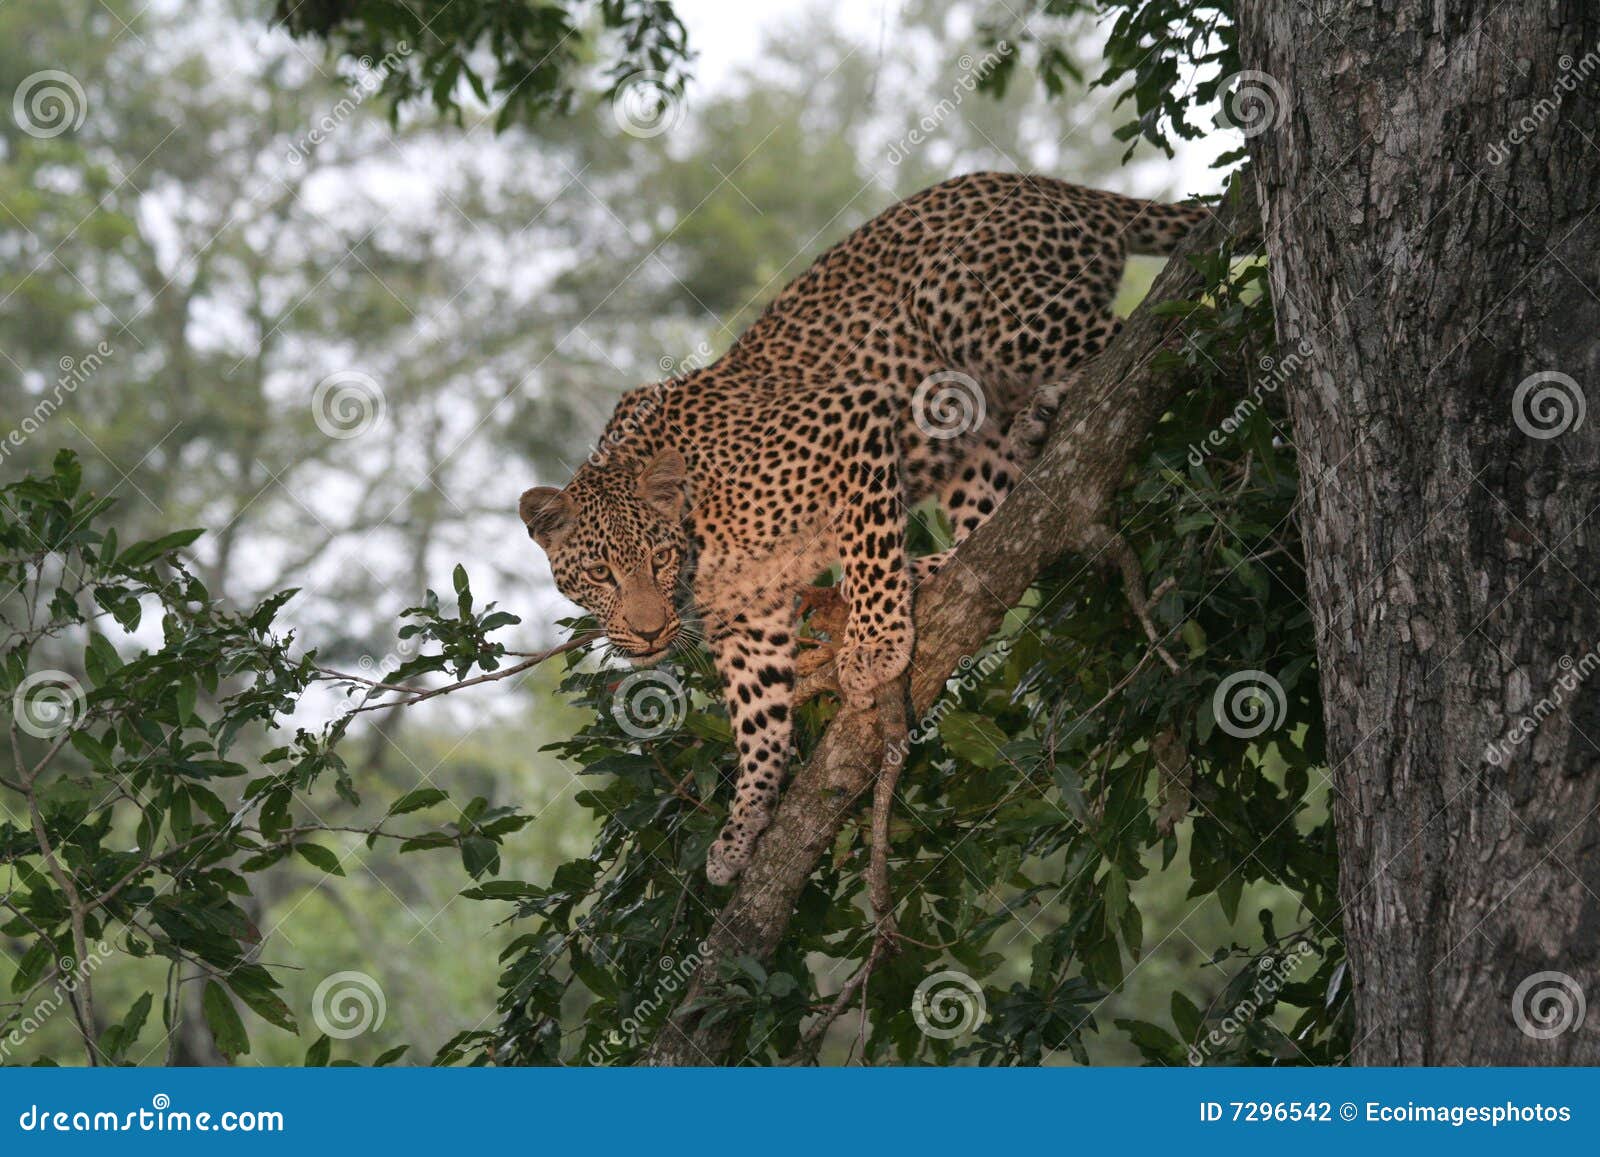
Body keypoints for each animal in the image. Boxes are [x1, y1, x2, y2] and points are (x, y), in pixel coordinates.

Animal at [519, 172, 1208, 885]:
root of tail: (1041, 182)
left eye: (656, 558)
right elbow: (757, 714)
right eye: (600, 572)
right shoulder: (748, 614)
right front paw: (744, 825)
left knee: (1153, 326)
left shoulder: (851, 417)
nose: (651, 632)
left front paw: (875, 645)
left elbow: (868, 543)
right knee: (995, 523)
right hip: (975, 432)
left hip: (981, 310)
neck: (698, 543)